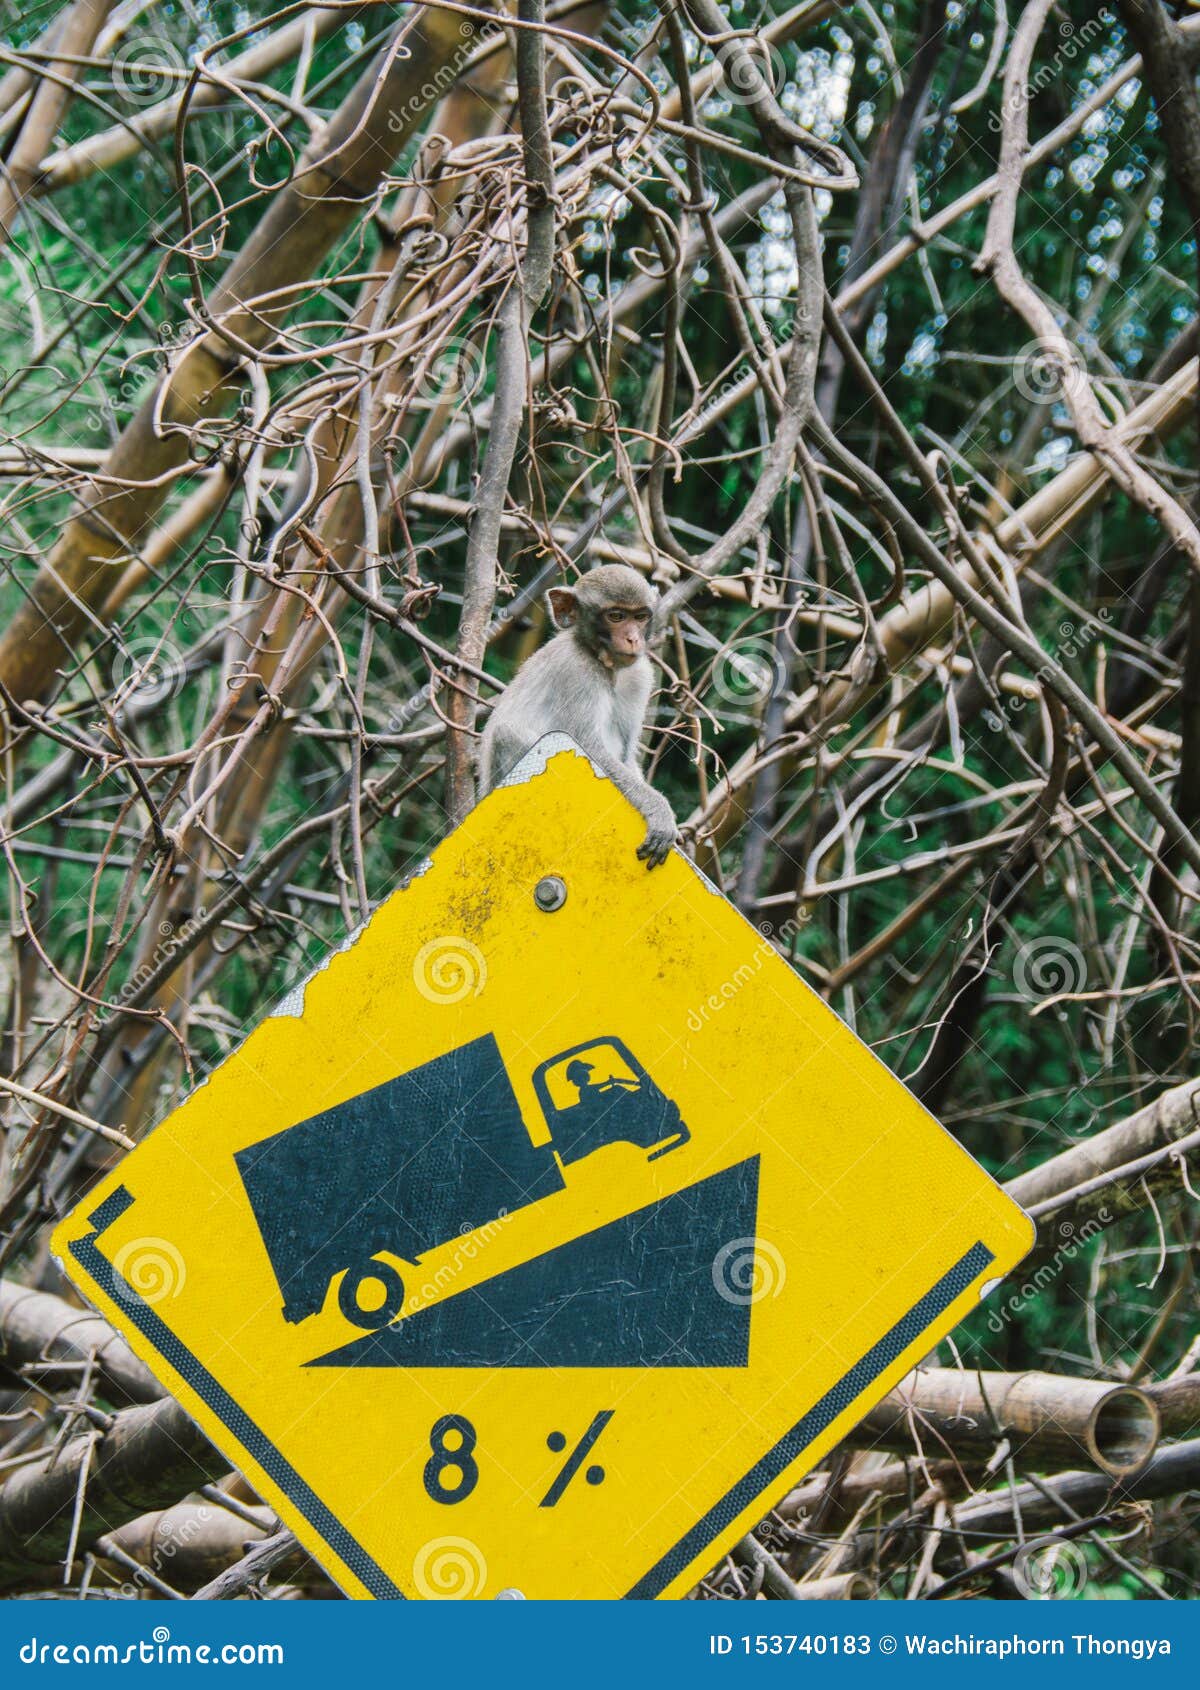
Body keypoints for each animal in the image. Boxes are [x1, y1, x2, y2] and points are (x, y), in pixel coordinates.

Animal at [477, 564, 678, 867]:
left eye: (641, 617)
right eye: (616, 616)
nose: (633, 639)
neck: (602, 663)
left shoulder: (640, 676)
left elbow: (626, 756)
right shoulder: (575, 671)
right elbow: (590, 748)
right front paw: (659, 809)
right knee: (506, 734)